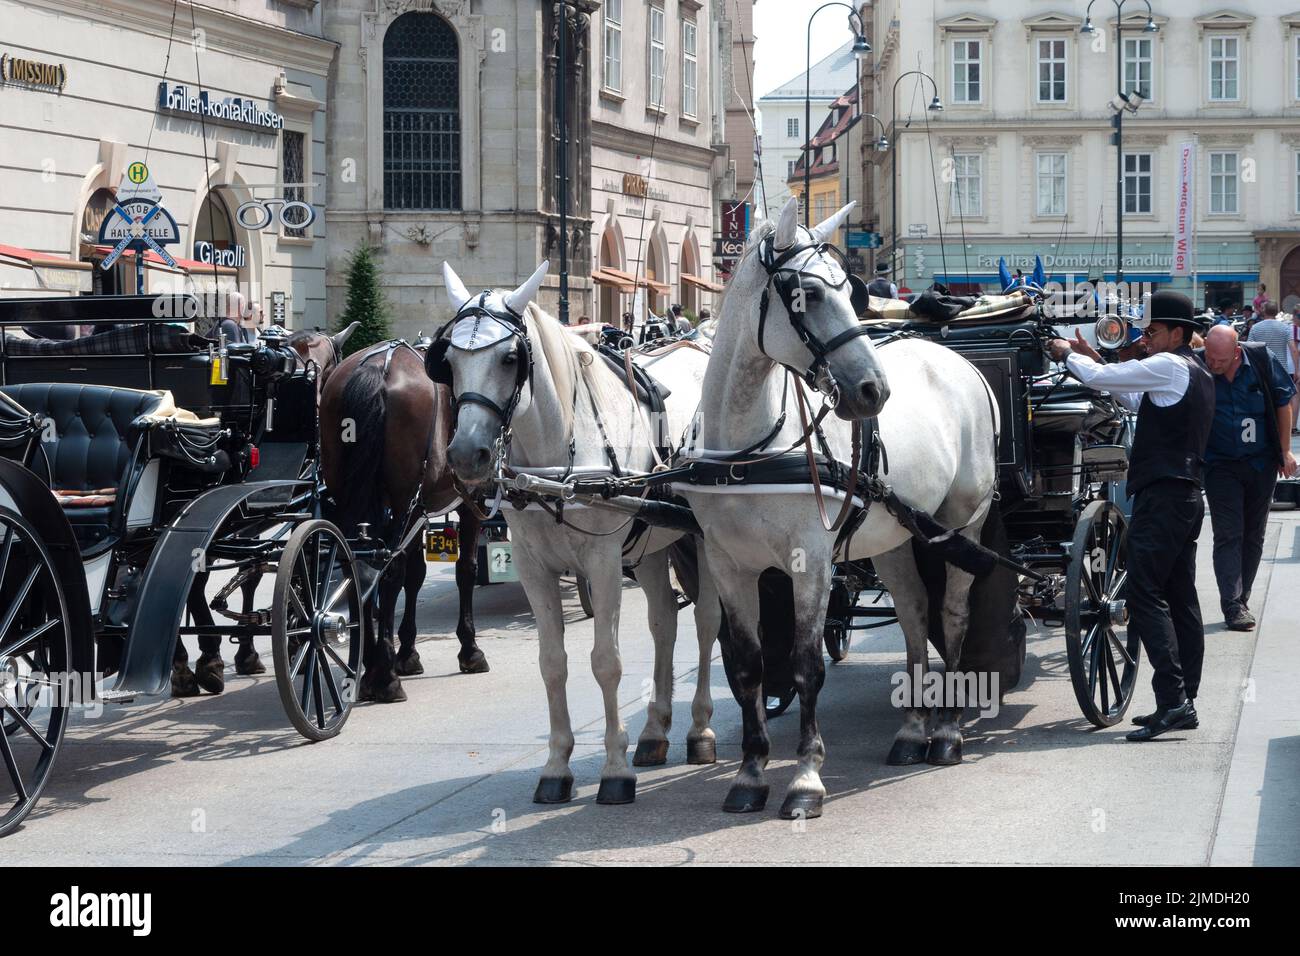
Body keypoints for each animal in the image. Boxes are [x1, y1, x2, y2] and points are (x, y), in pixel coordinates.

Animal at [319, 336, 489, 705]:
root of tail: (377, 367)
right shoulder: (470, 499)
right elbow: (464, 570)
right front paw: (469, 649)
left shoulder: (418, 510)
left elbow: (416, 574)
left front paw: (407, 650)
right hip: (401, 498)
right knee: (387, 572)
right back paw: (384, 676)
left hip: (354, 496)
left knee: (358, 566)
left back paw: (368, 663)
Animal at [431, 260, 720, 805]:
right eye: (449, 361)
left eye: (510, 358)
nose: (465, 454)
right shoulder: (533, 567)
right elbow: (553, 663)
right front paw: (556, 766)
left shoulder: (603, 564)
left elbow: (605, 660)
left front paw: (614, 769)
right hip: (651, 546)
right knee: (663, 623)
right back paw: (655, 731)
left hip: (703, 539)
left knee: (706, 622)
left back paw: (699, 729)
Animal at [678, 195, 999, 819]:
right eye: (808, 293)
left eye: (849, 291)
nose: (875, 390)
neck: (747, 449)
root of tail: (959, 361)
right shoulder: (729, 566)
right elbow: (748, 666)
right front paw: (750, 774)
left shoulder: (810, 563)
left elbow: (806, 667)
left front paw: (805, 777)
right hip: (895, 534)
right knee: (914, 614)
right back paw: (913, 730)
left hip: (961, 525)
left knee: (951, 615)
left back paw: (947, 732)